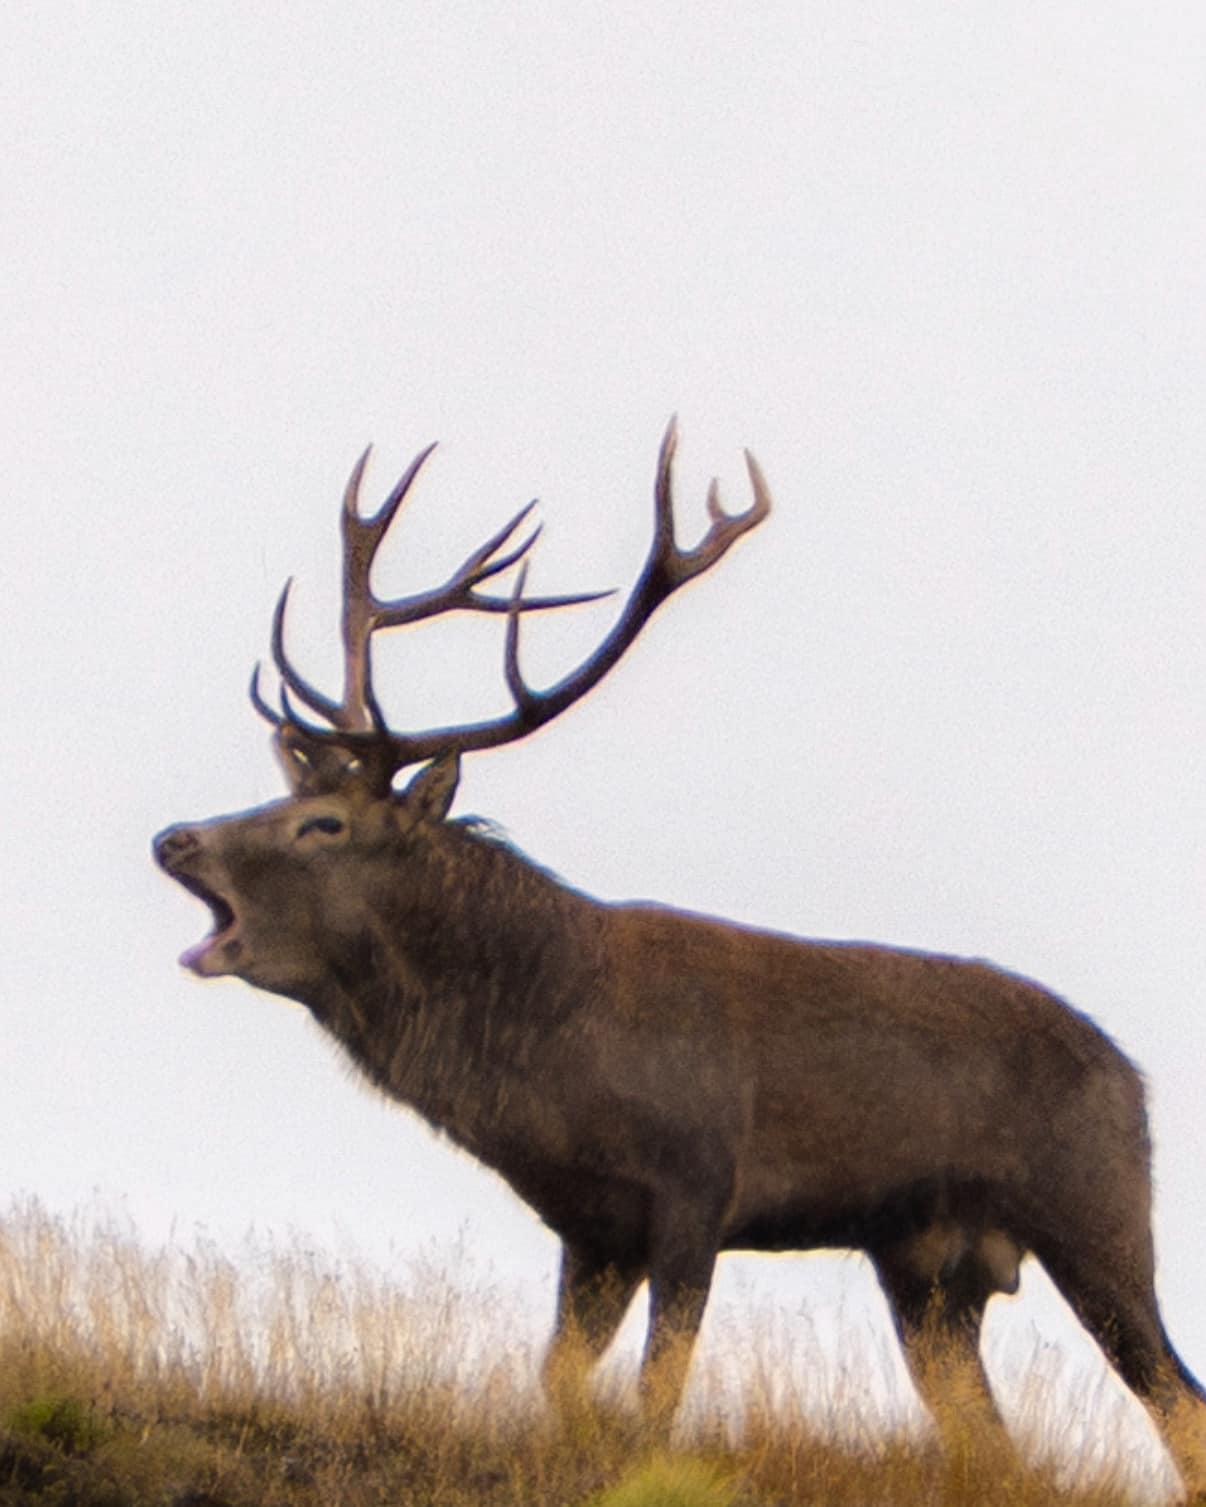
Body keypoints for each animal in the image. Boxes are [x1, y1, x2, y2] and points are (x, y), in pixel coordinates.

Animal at [155, 422, 1205, 1488]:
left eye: (322, 822)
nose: (175, 839)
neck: (552, 1063)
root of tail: (1135, 1076)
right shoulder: (591, 1227)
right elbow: (560, 1383)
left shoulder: (698, 1182)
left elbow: (658, 1398)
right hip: (928, 1268)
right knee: (994, 1440)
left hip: (1100, 1212)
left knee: (1177, 1405)